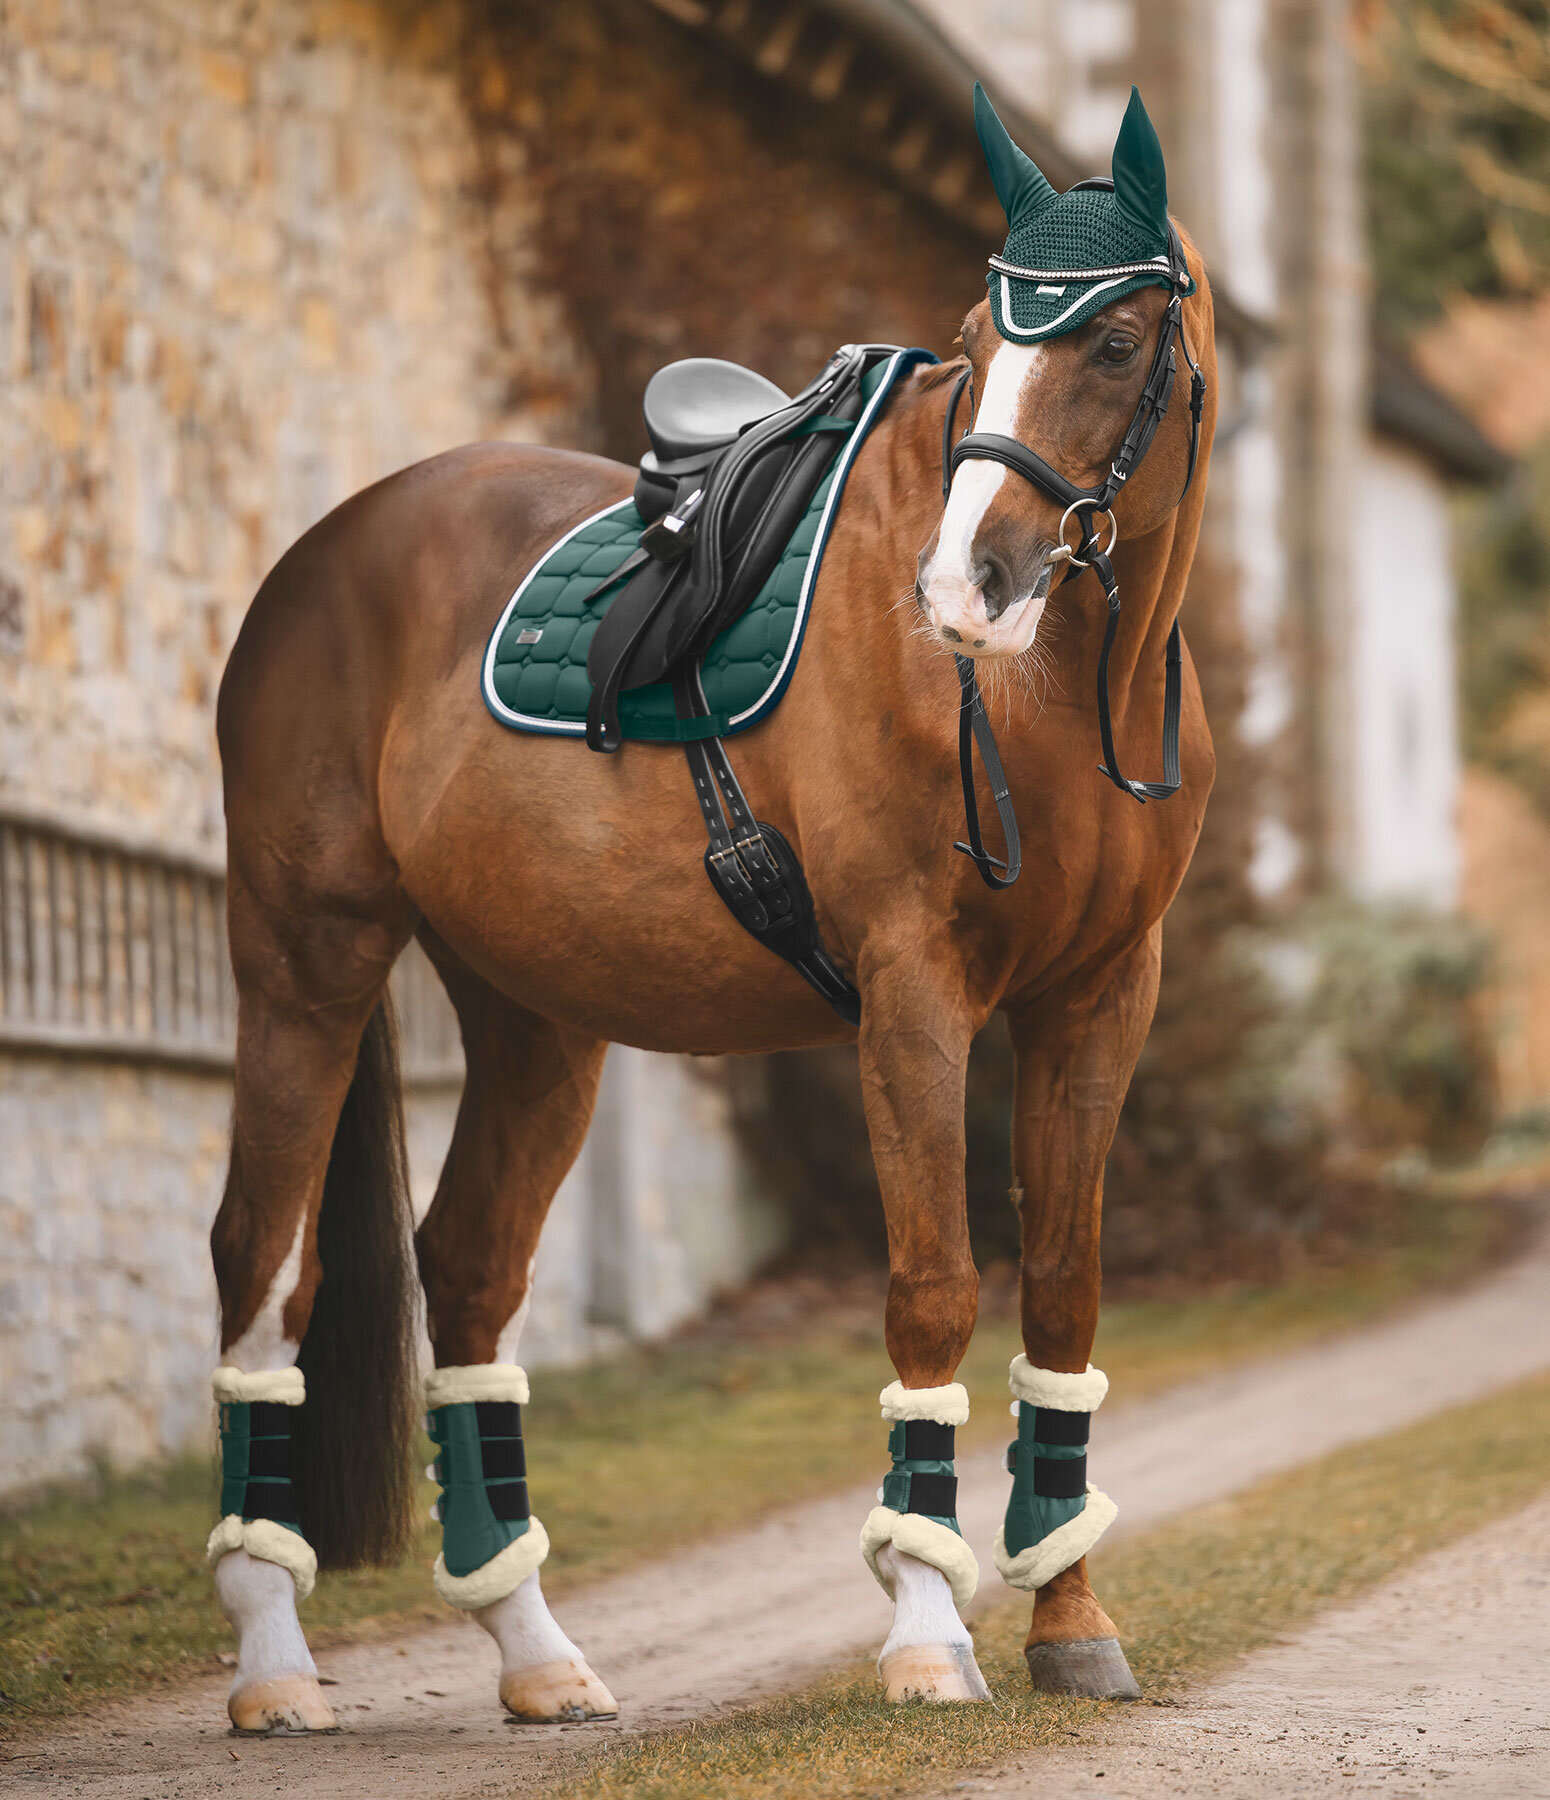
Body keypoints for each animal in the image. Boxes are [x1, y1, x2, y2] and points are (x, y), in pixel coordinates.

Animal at [203, 95, 1216, 1734]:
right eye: (972, 337)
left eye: (1116, 343)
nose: (966, 584)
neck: (1048, 691)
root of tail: (324, 550)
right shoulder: (913, 996)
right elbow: (932, 1290)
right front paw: (925, 1630)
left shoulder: (1098, 999)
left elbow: (1060, 1295)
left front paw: (1069, 1620)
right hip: (307, 964)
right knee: (258, 1263)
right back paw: (274, 1663)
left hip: (535, 1021)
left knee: (467, 1273)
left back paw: (537, 1656)